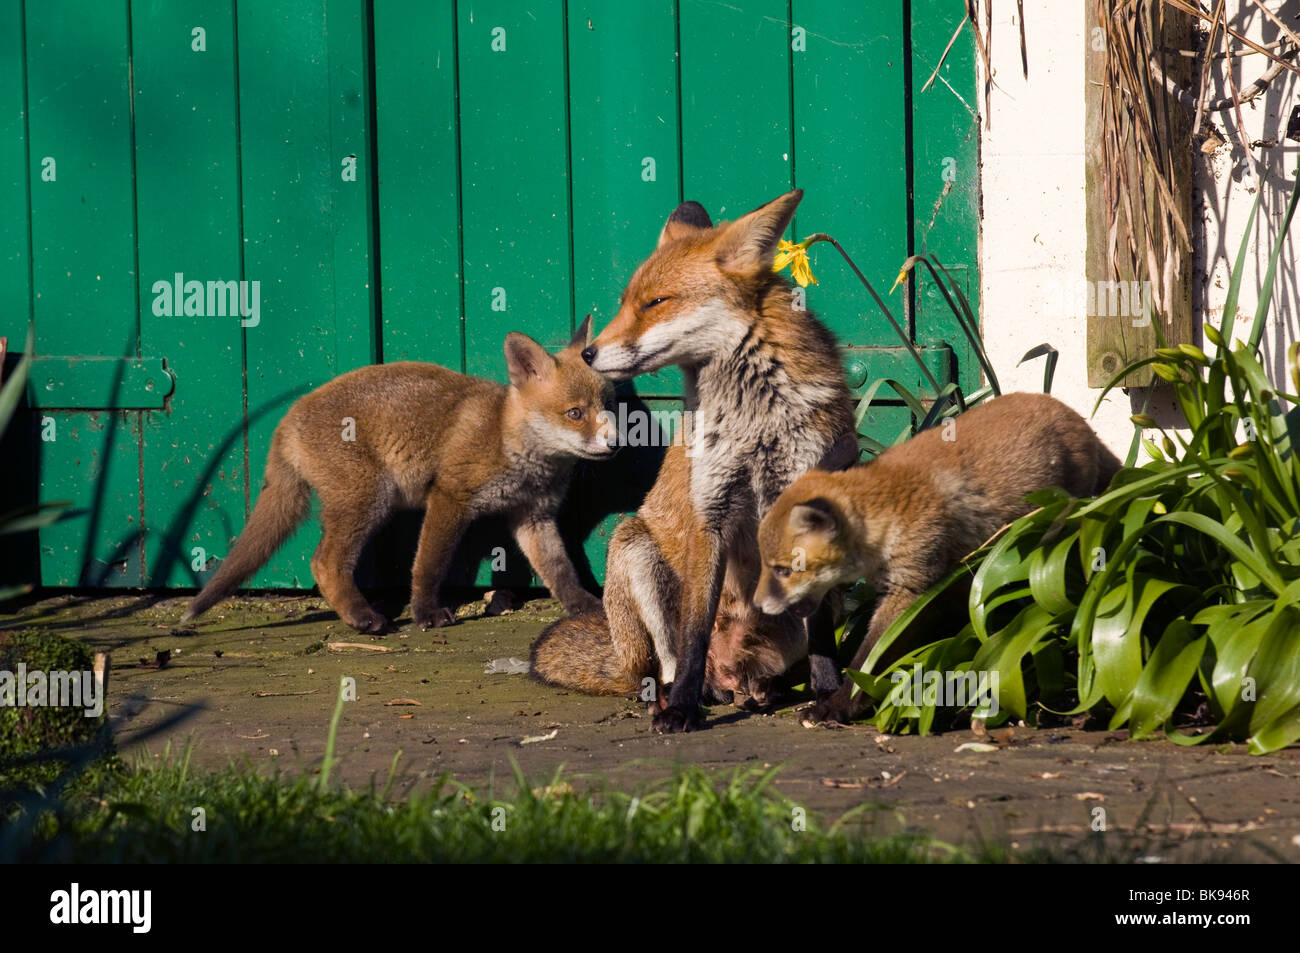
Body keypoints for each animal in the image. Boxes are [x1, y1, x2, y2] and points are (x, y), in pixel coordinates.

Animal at [183, 319, 615, 633]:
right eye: (575, 413)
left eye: (607, 405)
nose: (615, 443)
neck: (510, 442)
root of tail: (289, 417)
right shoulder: (449, 497)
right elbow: (428, 565)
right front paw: (426, 613)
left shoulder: (534, 516)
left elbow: (561, 571)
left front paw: (584, 606)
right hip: (369, 499)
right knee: (323, 563)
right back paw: (363, 618)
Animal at [529, 190, 857, 731]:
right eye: (625, 302)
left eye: (655, 303)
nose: (589, 354)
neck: (754, 424)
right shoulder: (711, 510)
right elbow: (694, 633)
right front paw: (683, 706)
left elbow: (823, 636)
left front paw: (829, 694)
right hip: (634, 549)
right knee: (664, 661)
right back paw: (681, 693)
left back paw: (762, 690)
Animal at [754, 391, 1123, 724]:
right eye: (766, 566)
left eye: (783, 570)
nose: (757, 605)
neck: (884, 516)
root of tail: (1076, 415)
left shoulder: (910, 591)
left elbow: (868, 659)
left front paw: (840, 705)